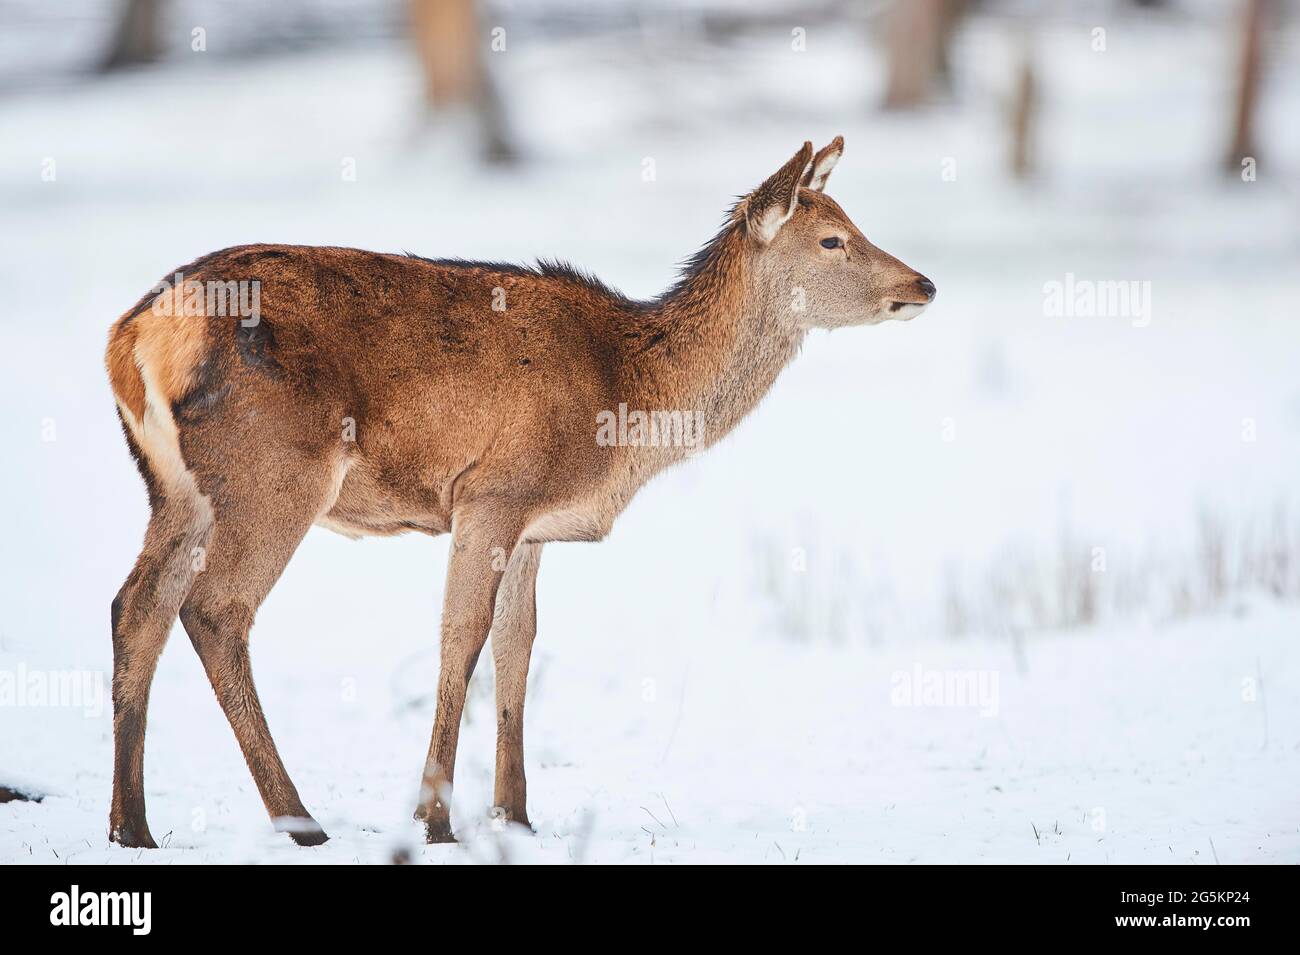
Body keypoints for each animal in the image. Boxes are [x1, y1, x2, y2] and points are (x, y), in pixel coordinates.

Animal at [105, 137, 936, 848]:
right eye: (832, 240)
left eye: (850, 224)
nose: (922, 283)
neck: (630, 406)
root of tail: (130, 336)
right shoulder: (493, 491)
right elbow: (462, 636)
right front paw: (437, 820)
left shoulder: (535, 522)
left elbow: (519, 643)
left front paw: (516, 813)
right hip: (273, 468)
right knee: (215, 609)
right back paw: (298, 818)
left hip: (177, 490)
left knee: (136, 604)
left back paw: (131, 824)